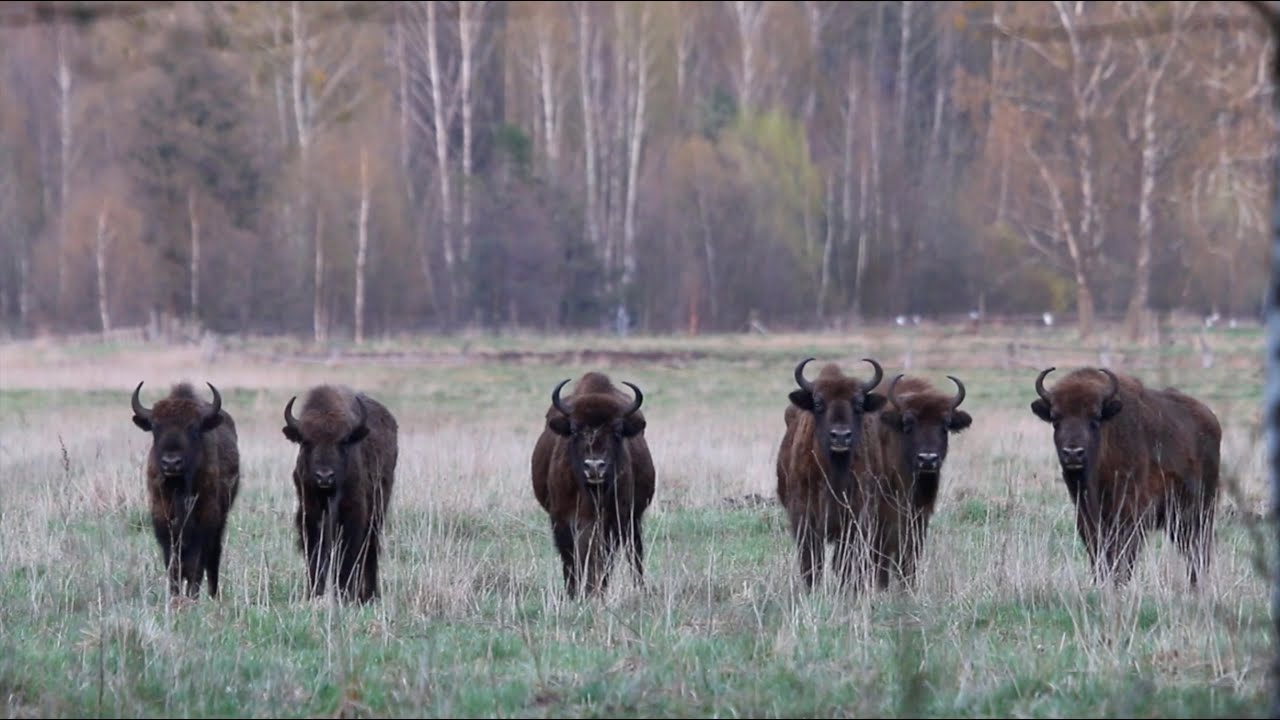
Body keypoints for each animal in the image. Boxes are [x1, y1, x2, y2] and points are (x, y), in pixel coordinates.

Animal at [131, 381, 240, 599]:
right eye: (155, 427)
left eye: (193, 428)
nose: (171, 463)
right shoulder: (163, 522)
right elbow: (173, 565)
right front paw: (174, 596)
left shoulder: (204, 522)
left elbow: (195, 565)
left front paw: (191, 597)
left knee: (213, 557)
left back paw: (214, 595)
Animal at [283, 385, 399, 603]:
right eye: (306, 441)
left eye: (343, 442)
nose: (324, 477)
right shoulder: (310, 514)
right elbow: (315, 554)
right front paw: (314, 595)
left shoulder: (352, 515)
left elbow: (347, 556)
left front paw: (344, 595)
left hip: (377, 512)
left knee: (370, 550)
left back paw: (369, 595)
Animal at [531, 372, 654, 598]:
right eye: (574, 429)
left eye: (617, 430)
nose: (595, 466)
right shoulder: (561, 519)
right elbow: (571, 557)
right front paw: (573, 592)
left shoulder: (613, 520)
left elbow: (602, 557)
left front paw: (595, 591)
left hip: (633, 519)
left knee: (634, 553)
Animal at [775, 357, 887, 590]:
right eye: (818, 403)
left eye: (858, 404)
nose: (841, 436)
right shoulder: (804, 518)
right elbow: (811, 561)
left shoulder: (855, 519)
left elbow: (843, 561)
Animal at [1031, 367, 1221, 587]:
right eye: (1055, 419)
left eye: (1095, 419)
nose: (1073, 453)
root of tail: (1211, 419)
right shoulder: (1087, 519)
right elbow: (1099, 556)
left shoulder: (1131, 516)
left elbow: (1123, 556)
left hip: (1199, 513)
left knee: (1197, 552)